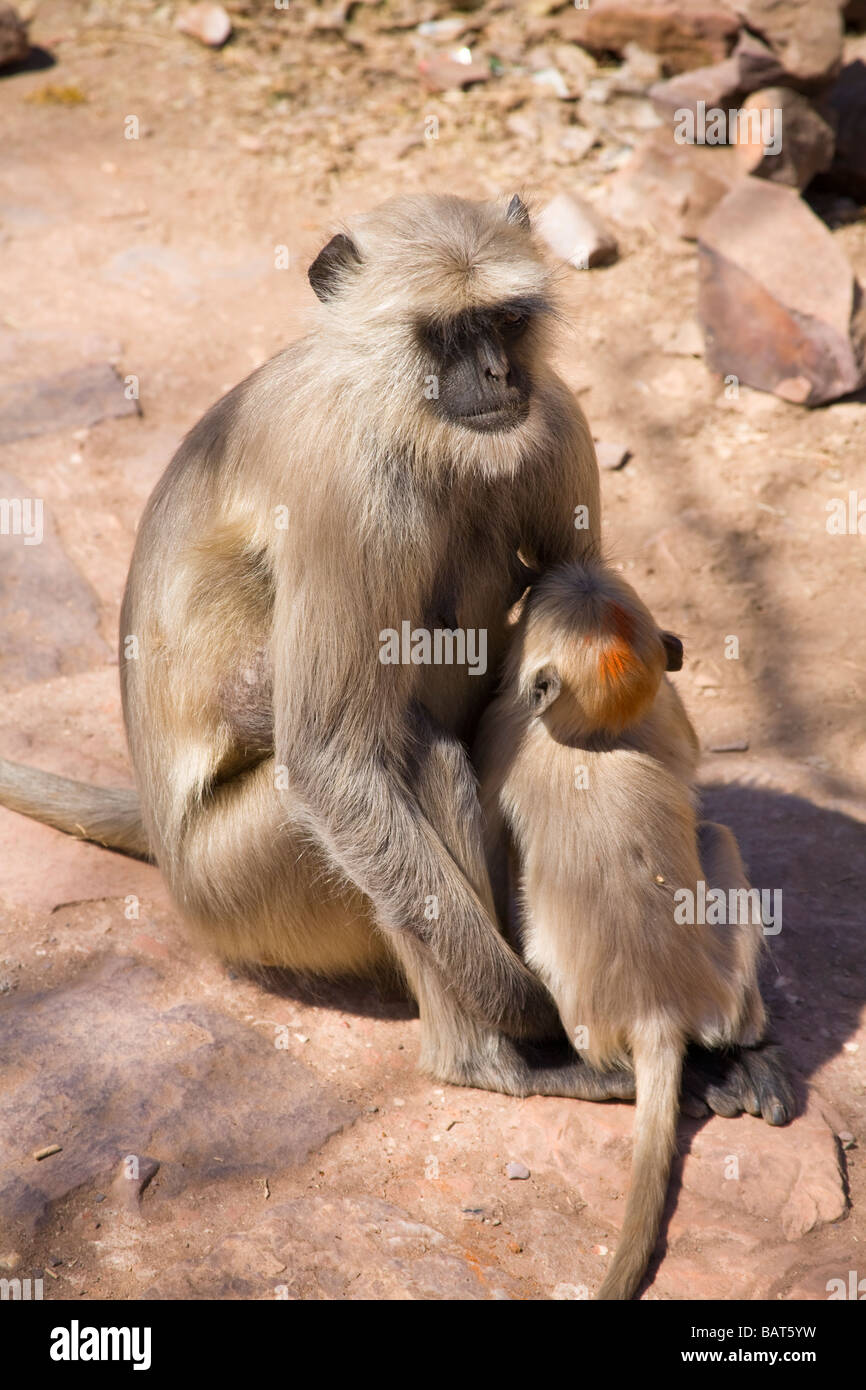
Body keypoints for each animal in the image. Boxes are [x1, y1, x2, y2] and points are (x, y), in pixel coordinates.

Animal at [0, 193, 791, 1119]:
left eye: (505, 321)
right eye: (447, 335)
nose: (495, 375)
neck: (400, 410)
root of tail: (166, 852)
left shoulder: (553, 415)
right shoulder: (348, 493)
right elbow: (329, 760)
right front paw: (534, 1008)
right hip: (234, 886)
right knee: (407, 755)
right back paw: (490, 1057)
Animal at [474, 554, 783, 1299]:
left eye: (537, 608)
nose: (556, 571)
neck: (592, 741)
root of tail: (657, 1010)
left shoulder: (504, 731)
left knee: (716, 832)